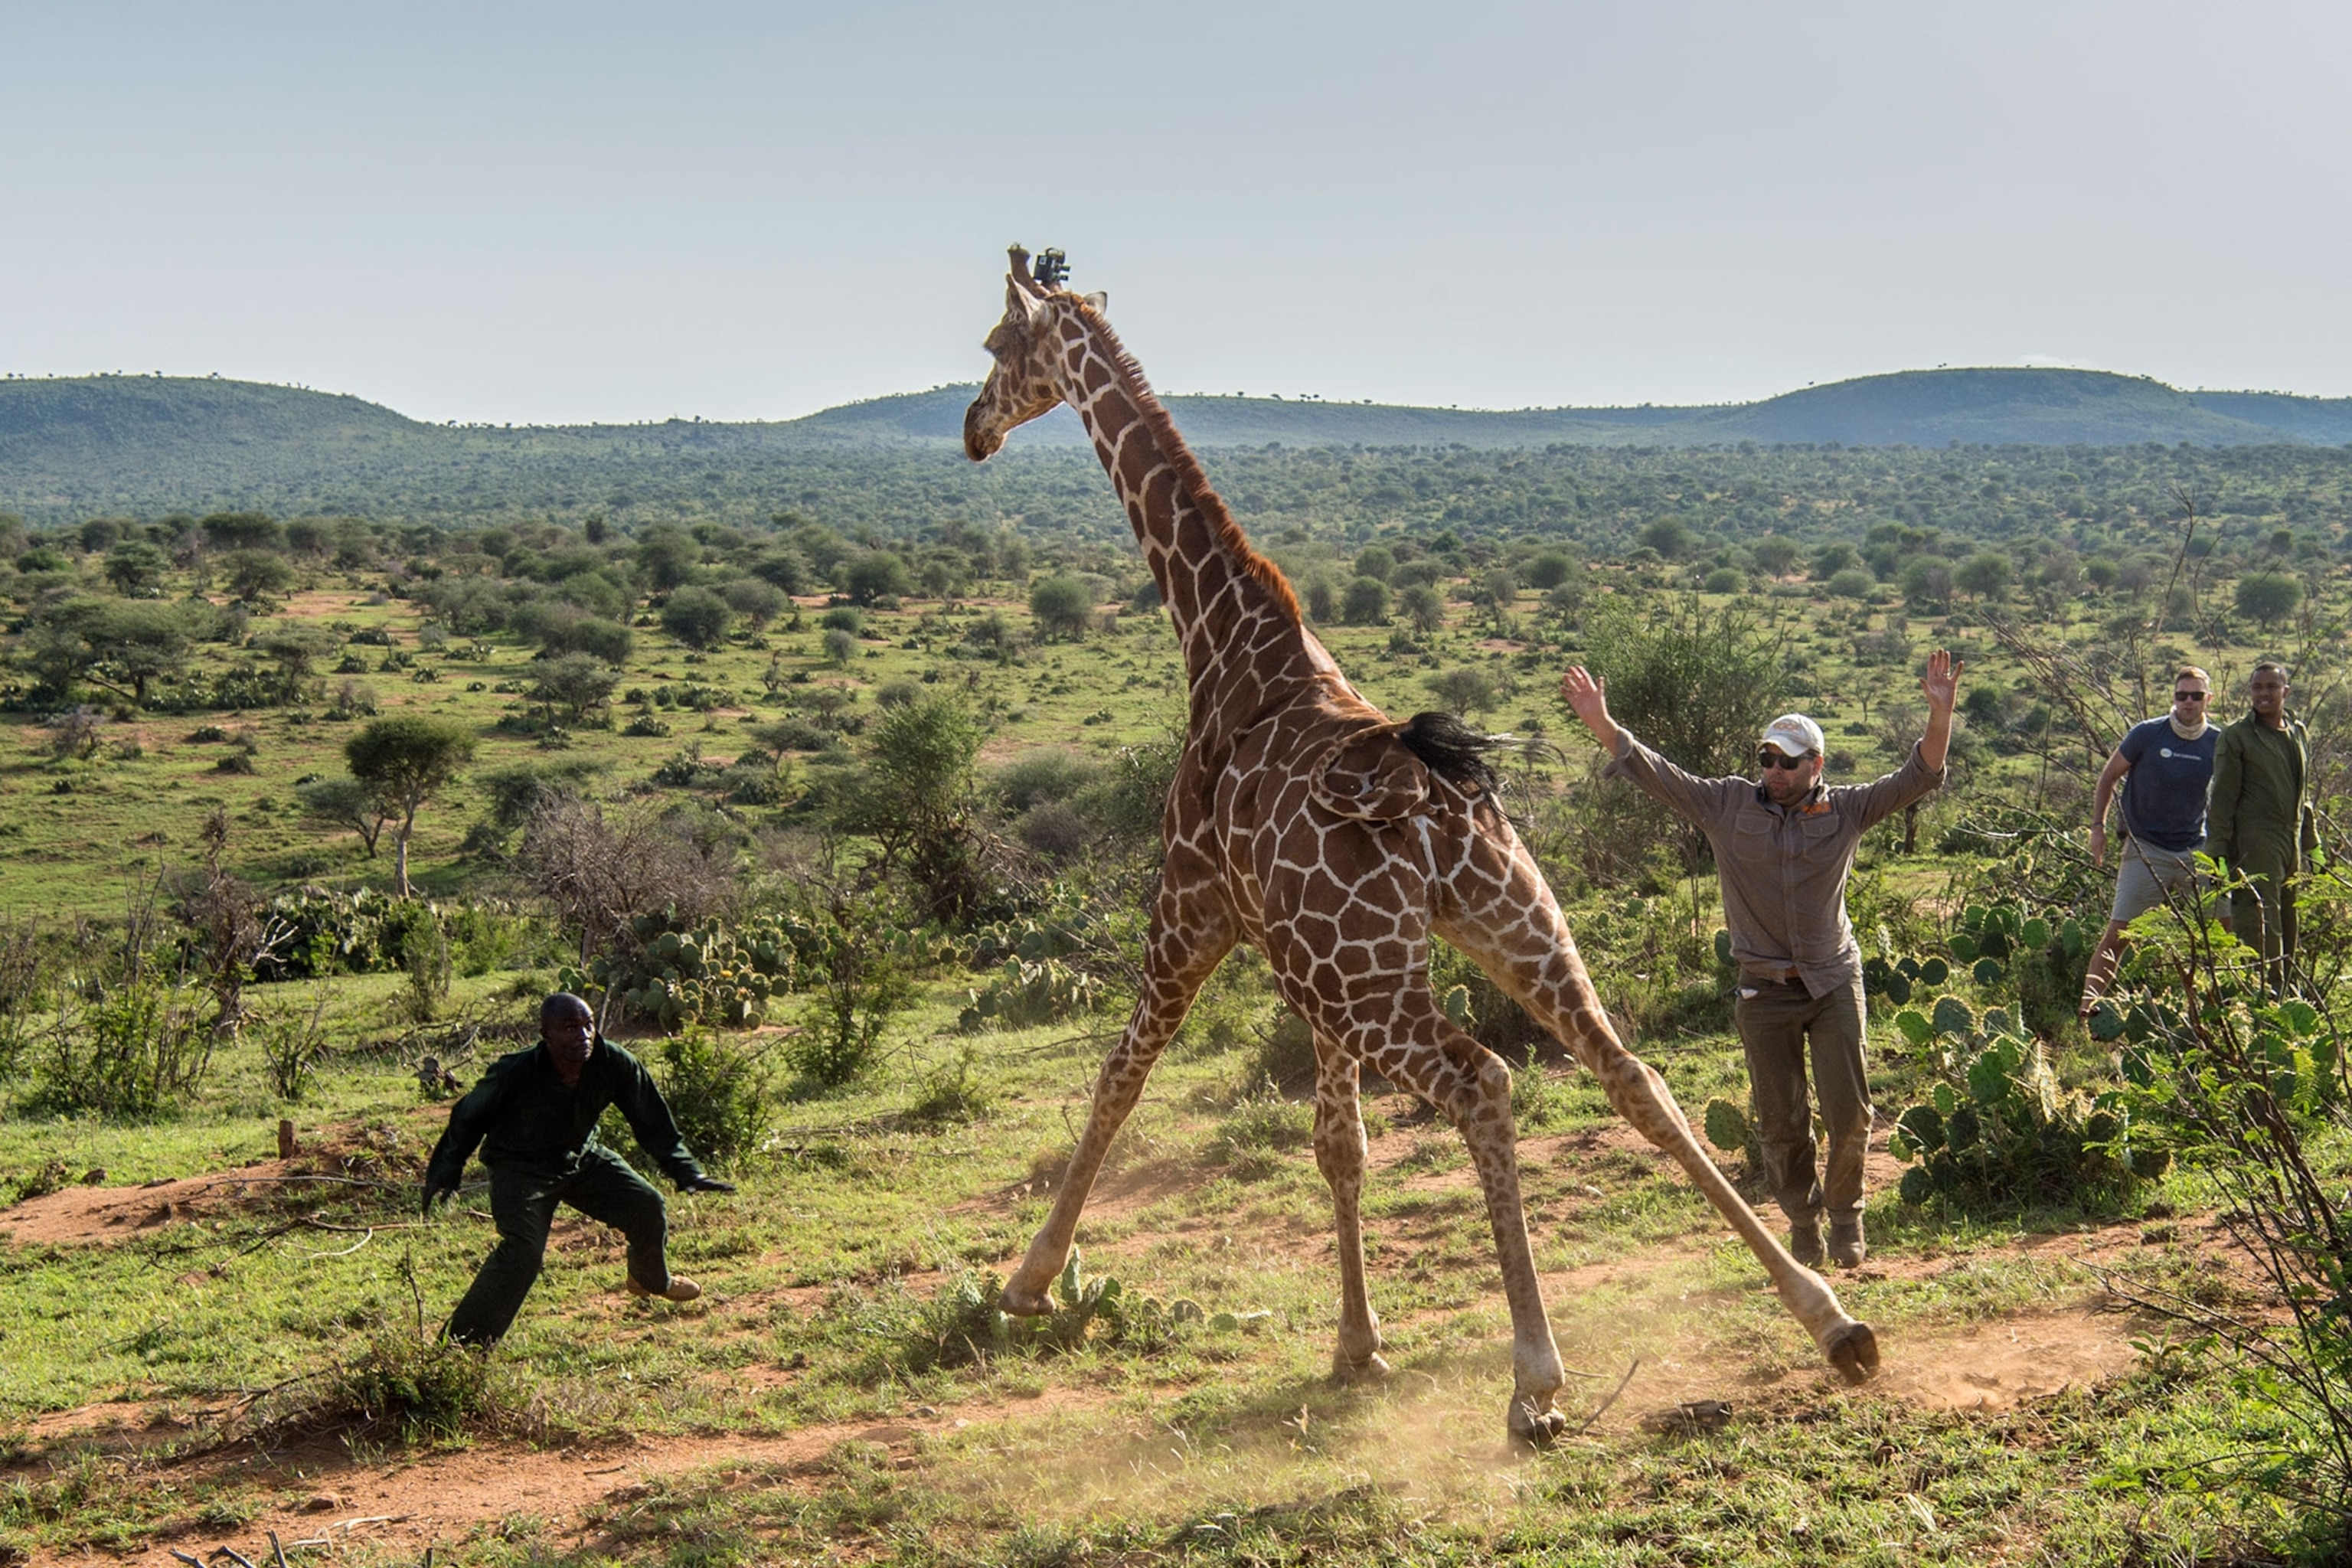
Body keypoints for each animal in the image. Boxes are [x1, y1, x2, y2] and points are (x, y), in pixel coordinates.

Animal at [963, 247, 1878, 1445]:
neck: (1226, 642)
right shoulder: (1300, 968)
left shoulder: (1196, 912)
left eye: (995, 345)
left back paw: (1536, 1373)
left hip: (1375, 980)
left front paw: (1026, 1283)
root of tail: (1438, 801)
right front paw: (1358, 1345)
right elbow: (1337, 1145)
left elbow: (1121, 1074)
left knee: (1485, 1079)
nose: (974, 428)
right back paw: (1830, 1320)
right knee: (1631, 1071)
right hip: (1511, 924)